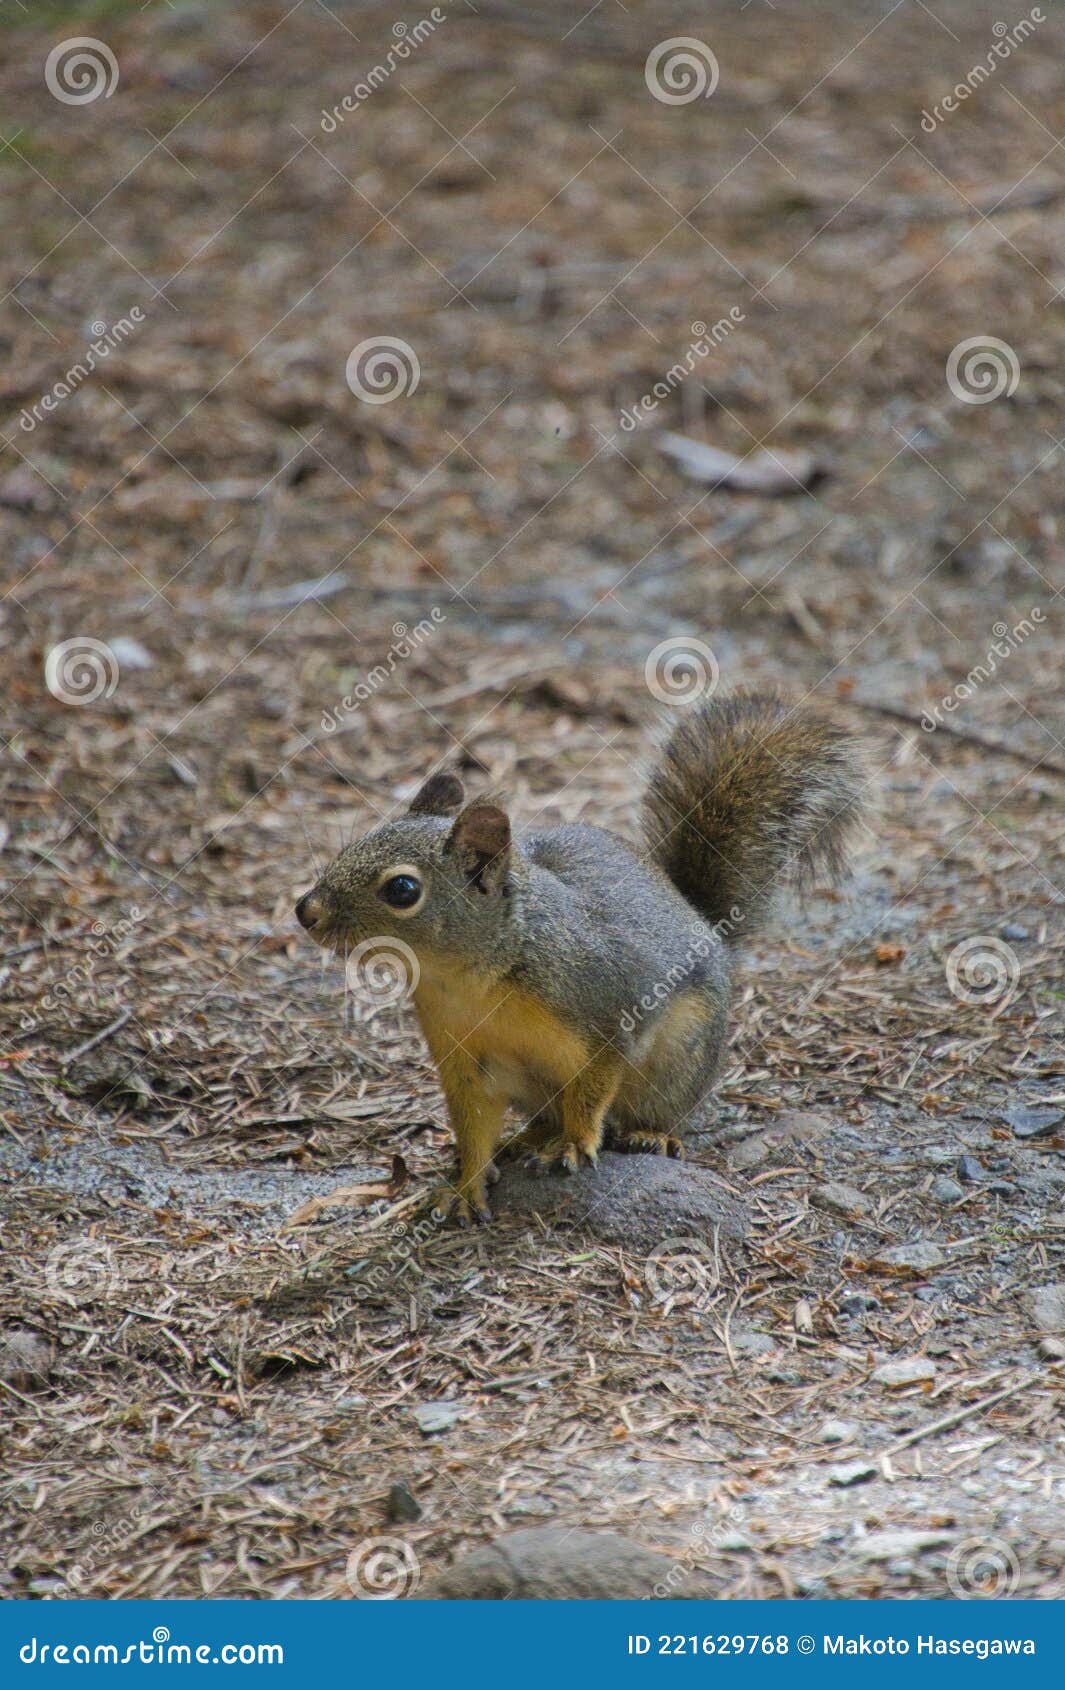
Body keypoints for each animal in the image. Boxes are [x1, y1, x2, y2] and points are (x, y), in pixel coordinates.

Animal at [295, 692, 866, 1223]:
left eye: (402, 890)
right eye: (354, 844)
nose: (306, 911)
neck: (470, 977)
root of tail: (709, 930)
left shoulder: (606, 1010)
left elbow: (591, 1091)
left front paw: (574, 1142)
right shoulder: (463, 1054)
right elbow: (474, 1124)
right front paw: (465, 1187)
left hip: (682, 1056)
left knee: (660, 1111)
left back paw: (647, 1135)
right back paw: (529, 1138)